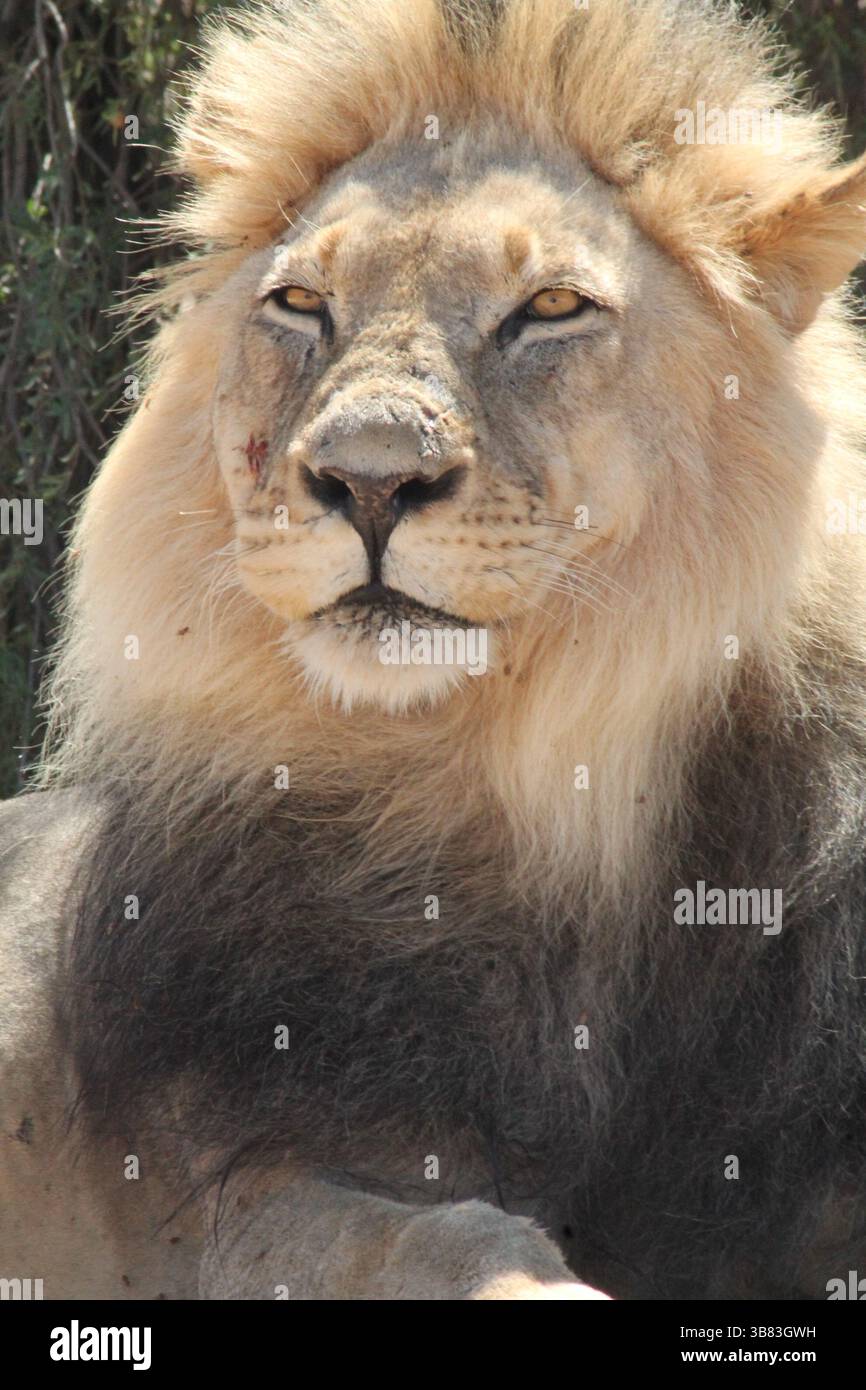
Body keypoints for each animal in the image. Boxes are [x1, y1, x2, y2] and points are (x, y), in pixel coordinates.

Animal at [2, 0, 866, 1301]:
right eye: (299, 304)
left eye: (551, 309)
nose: (368, 478)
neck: (539, 767)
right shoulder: (244, 1176)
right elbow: (438, 1237)